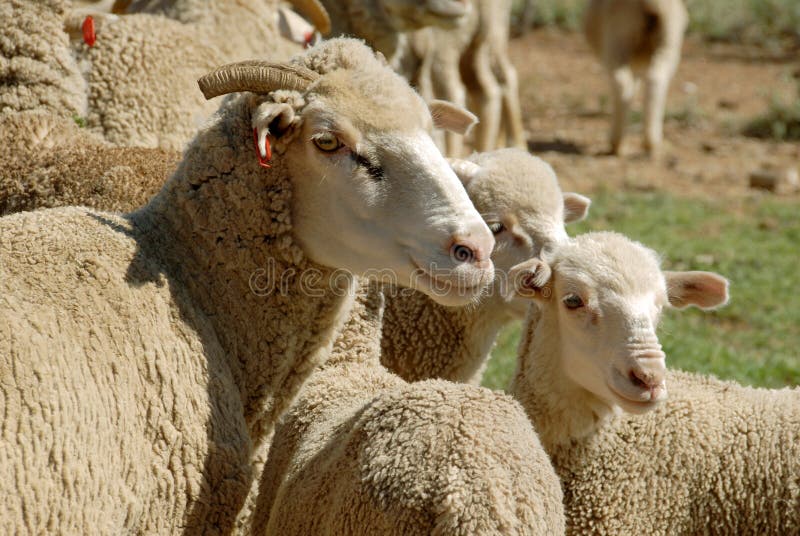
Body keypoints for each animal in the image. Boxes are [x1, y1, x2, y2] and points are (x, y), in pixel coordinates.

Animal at [584, 0, 689, 156]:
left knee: (621, 84)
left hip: (616, 38)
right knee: (656, 79)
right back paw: (651, 143)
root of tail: (652, 4)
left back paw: (617, 144)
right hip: (668, 40)